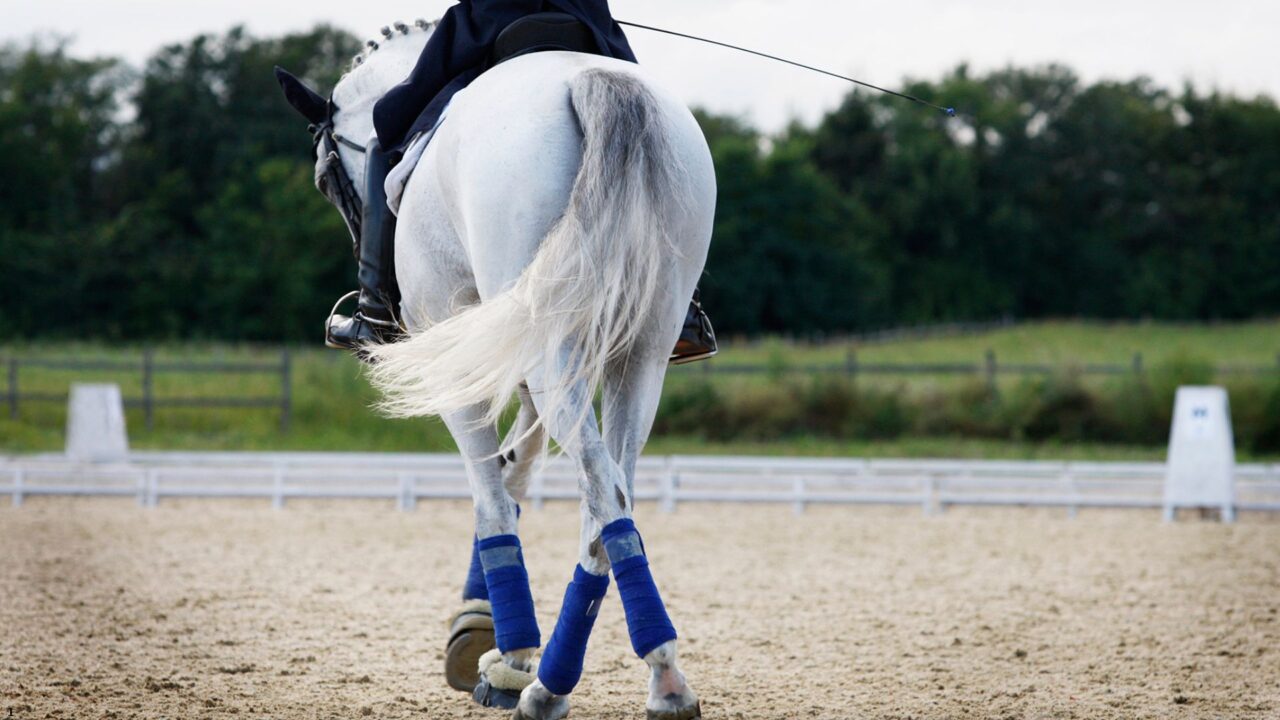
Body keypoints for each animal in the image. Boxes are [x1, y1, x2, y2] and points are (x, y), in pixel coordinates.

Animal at [275, 21, 715, 720]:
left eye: (324, 178)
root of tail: (593, 82)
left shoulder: (462, 358)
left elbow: (491, 500)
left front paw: (503, 652)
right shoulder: (527, 359)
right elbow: (517, 469)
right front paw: (486, 632)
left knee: (600, 489)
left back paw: (609, 681)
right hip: (639, 356)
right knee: (609, 498)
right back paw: (595, 680)